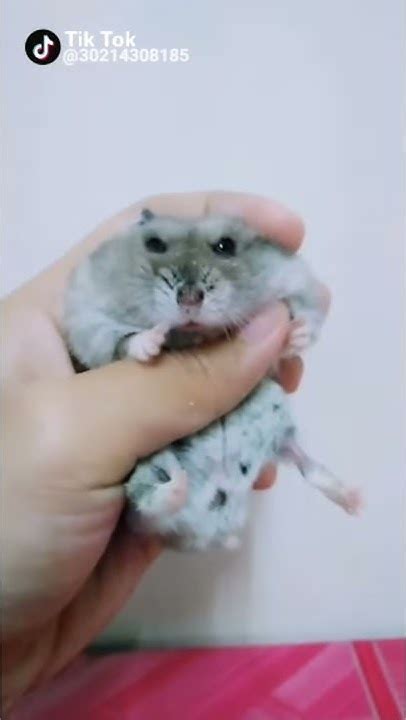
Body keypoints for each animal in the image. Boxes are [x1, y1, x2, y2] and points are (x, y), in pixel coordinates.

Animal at [63, 209, 326, 367]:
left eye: (225, 245)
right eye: (154, 244)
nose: (189, 299)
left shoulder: (295, 275)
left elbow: (308, 312)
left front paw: (297, 332)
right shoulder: (85, 317)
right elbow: (123, 340)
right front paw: (156, 337)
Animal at [125, 378, 361, 551]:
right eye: (221, 421)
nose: (239, 474)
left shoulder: (284, 443)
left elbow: (312, 470)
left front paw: (358, 504)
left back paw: (232, 540)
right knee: (150, 504)